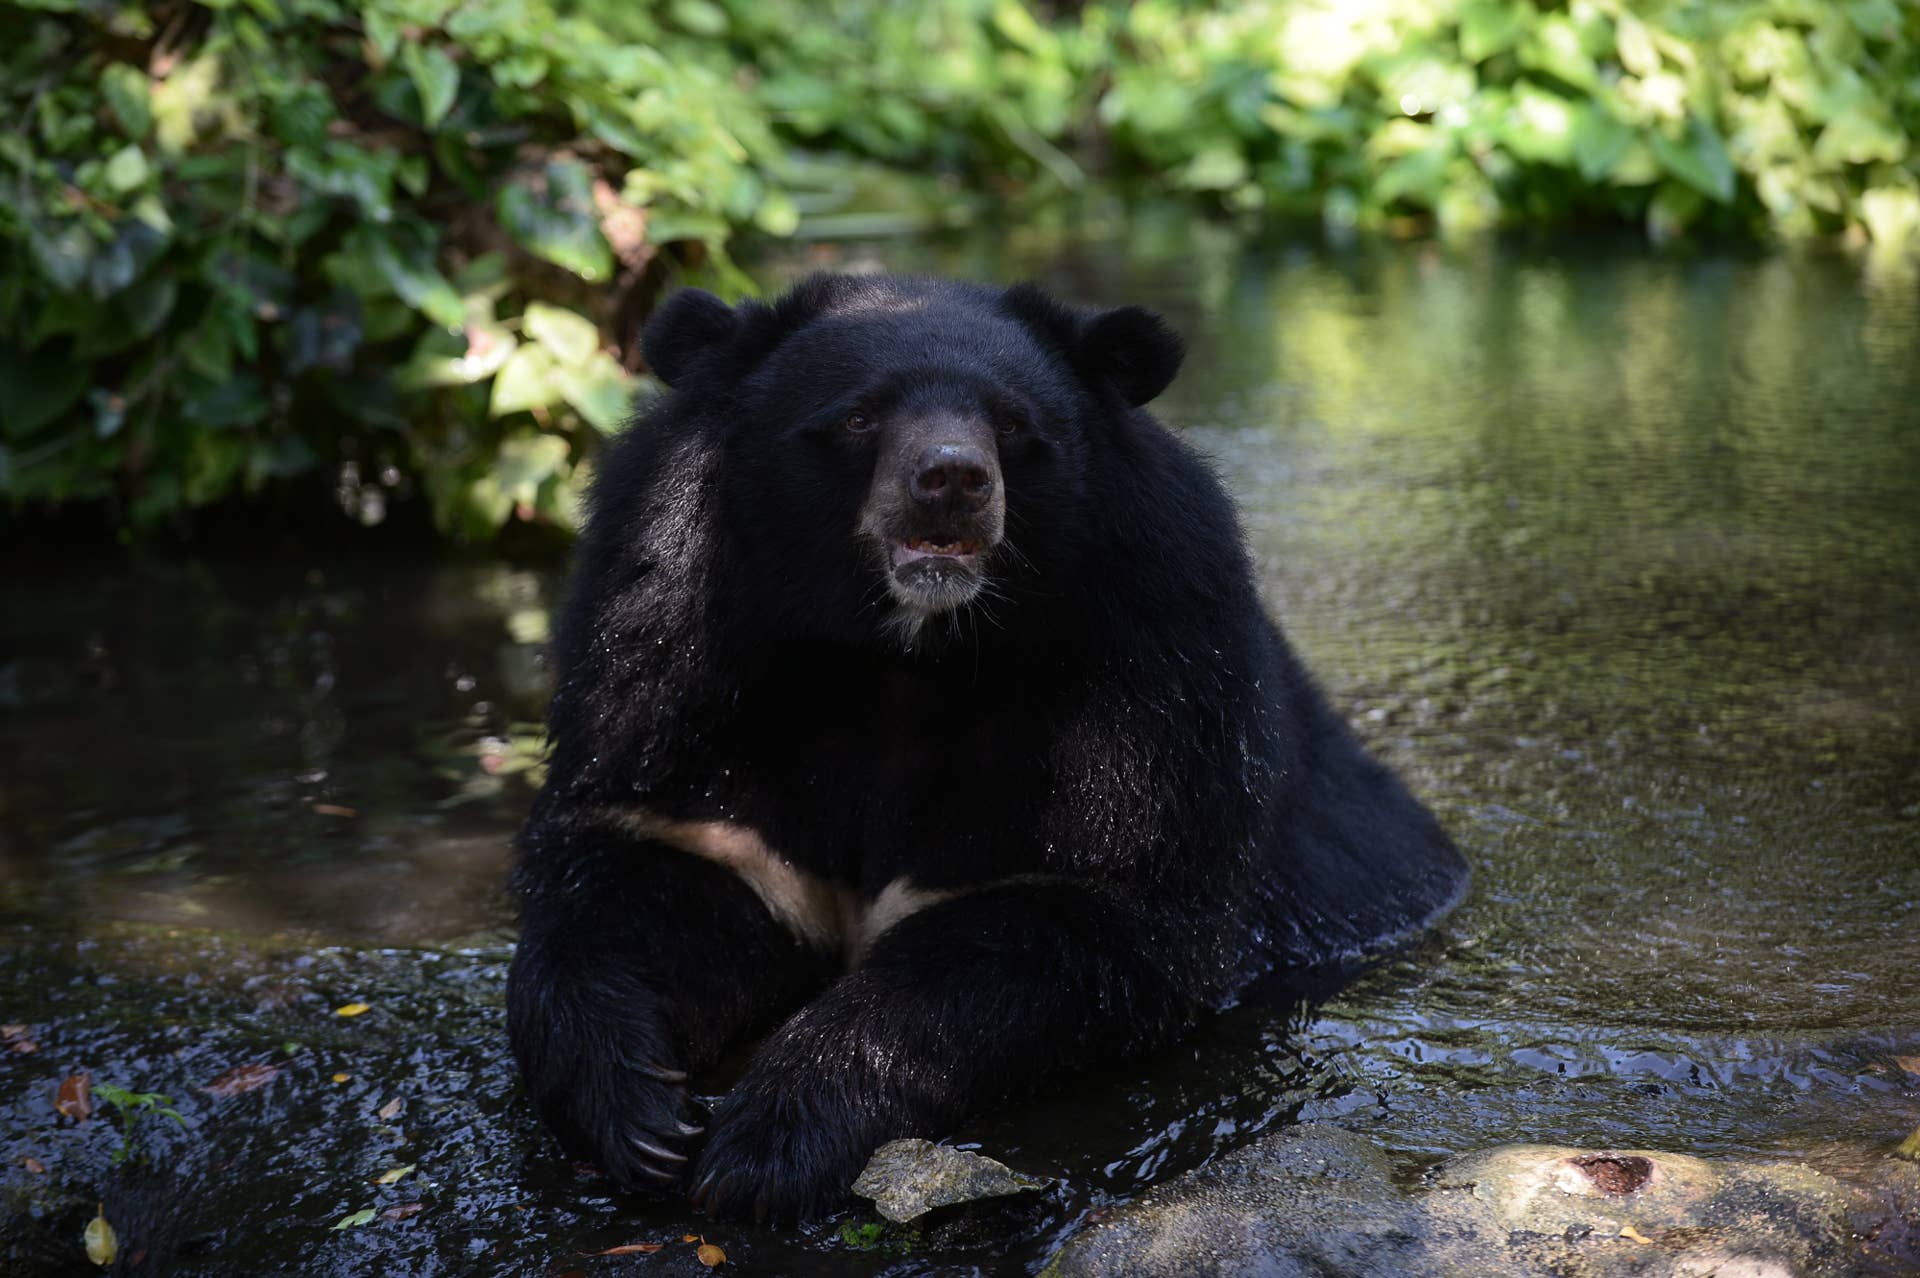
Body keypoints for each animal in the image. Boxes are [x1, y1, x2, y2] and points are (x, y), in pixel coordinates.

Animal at [505, 273, 1468, 1222]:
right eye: (861, 416)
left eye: (1010, 424)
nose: (952, 480)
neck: (900, 658)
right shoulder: (681, 672)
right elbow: (647, 877)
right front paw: (639, 1114)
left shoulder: (1145, 687)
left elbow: (1075, 927)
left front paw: (770, 1141)